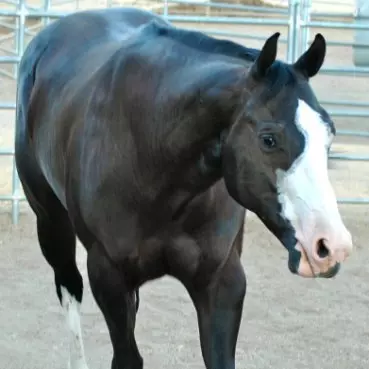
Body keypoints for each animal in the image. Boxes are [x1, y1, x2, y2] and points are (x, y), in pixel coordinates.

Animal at [14, 5, 352, 368]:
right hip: (52, 226)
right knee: (68, 288)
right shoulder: (108, 276)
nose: (331, 246)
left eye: (329, 133)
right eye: (268, 139)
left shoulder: (222, 281)